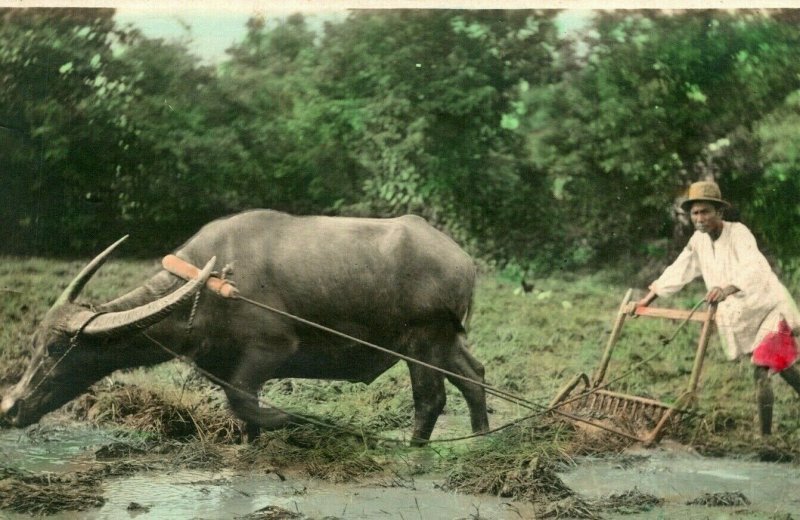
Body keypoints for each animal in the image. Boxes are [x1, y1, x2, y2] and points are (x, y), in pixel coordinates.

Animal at [1, 210, 489, 444]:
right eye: (32, 344)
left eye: (53, 350)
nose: (10, 408)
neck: (210, 288)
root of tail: (463, 261)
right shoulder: (223, 362)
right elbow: (241, 409)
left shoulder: (271, 349)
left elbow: (243, 401)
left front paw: (287, 418)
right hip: (447, 342)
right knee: (474, 377)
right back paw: (482, 439)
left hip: (422, 341)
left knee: (430, 399)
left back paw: (417, 449)